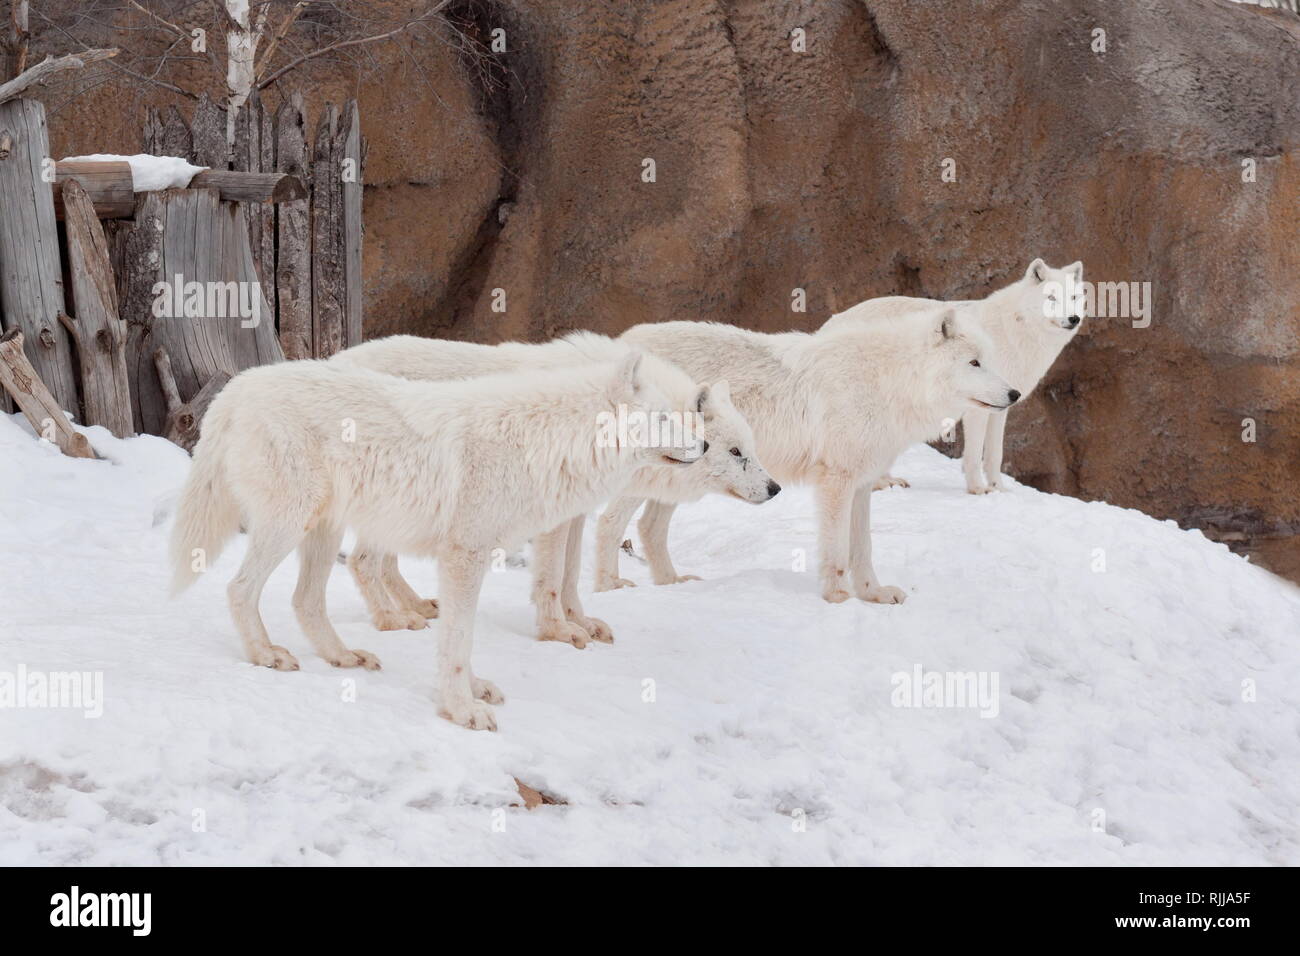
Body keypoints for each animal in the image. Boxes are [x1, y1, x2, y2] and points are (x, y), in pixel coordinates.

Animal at [169, 353, 702, 730]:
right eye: (663, 418)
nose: (705, 445)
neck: (544, 442)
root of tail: (239, 386)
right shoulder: (464, 557)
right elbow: (457, 641)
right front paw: (462, 711)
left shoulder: (471, 559)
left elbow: (459, 642)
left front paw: (471, 691)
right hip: (288, 524)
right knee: (239, 589)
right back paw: (265, 655)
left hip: (323, 530)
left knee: (305, 601)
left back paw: (344, 656)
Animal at [330, 332, 778, 647]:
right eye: (735, 452)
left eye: (752, 449)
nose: (774, 488)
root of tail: (334, 359)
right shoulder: (552, 513)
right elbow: (552, 576)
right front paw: (558, 631)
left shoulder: (574, 511)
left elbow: (571, 574)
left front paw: (580, 621)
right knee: (363, 561)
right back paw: (392, 619)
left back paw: (417, 606)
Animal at [597, 309, 1020, 604]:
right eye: (974, 362)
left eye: (989, 360)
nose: (1015, 393)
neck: (890, 383)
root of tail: (623, 342)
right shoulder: (837, 480)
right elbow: (836, 551)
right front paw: (837, 597)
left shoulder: (863, 483)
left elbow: (864, 548)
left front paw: (873, 594)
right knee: (608, 523)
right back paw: (610, 587)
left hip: (683, 477)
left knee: (649, 528)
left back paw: (671, 583)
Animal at [822, 259, 1085, 494]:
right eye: (1051, 298)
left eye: (1073, 298)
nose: (1074, 319)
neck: (1014, 331)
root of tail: (829, 323)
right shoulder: (977, 408)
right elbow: (974, 454)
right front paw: (979, 489)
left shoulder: (1001, 407)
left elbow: (995, 454)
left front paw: (999, 489)